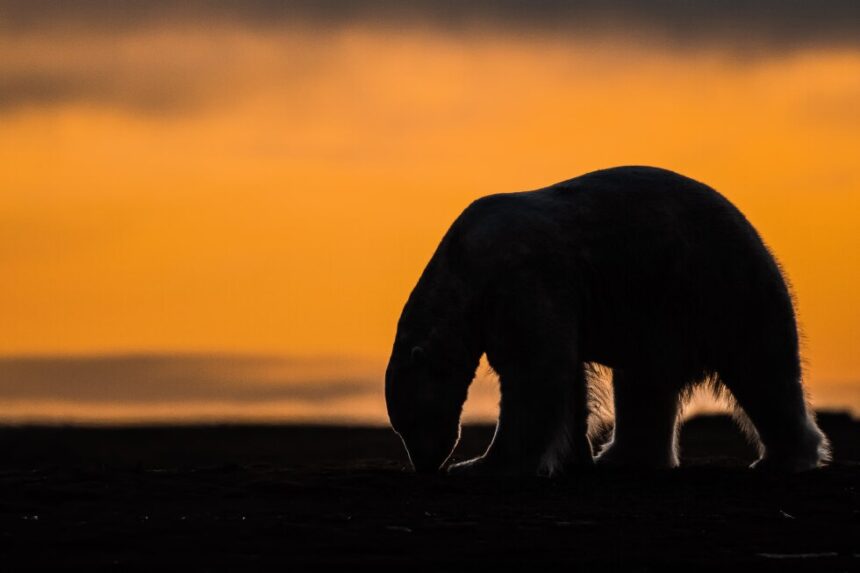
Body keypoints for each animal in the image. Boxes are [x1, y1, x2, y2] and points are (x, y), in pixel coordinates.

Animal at [385, 166, 830, 475]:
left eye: (410, 421)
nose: (426, 463)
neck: (465, 266)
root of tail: (753, 232)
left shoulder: (521, 278)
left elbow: (534, 370)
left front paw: (482, 463)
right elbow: (567, 378)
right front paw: (574, 456)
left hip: (721, 288)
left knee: (761, 369)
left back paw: (783, 458)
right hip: (658, 315)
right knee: (645, 384)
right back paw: (623, 457)